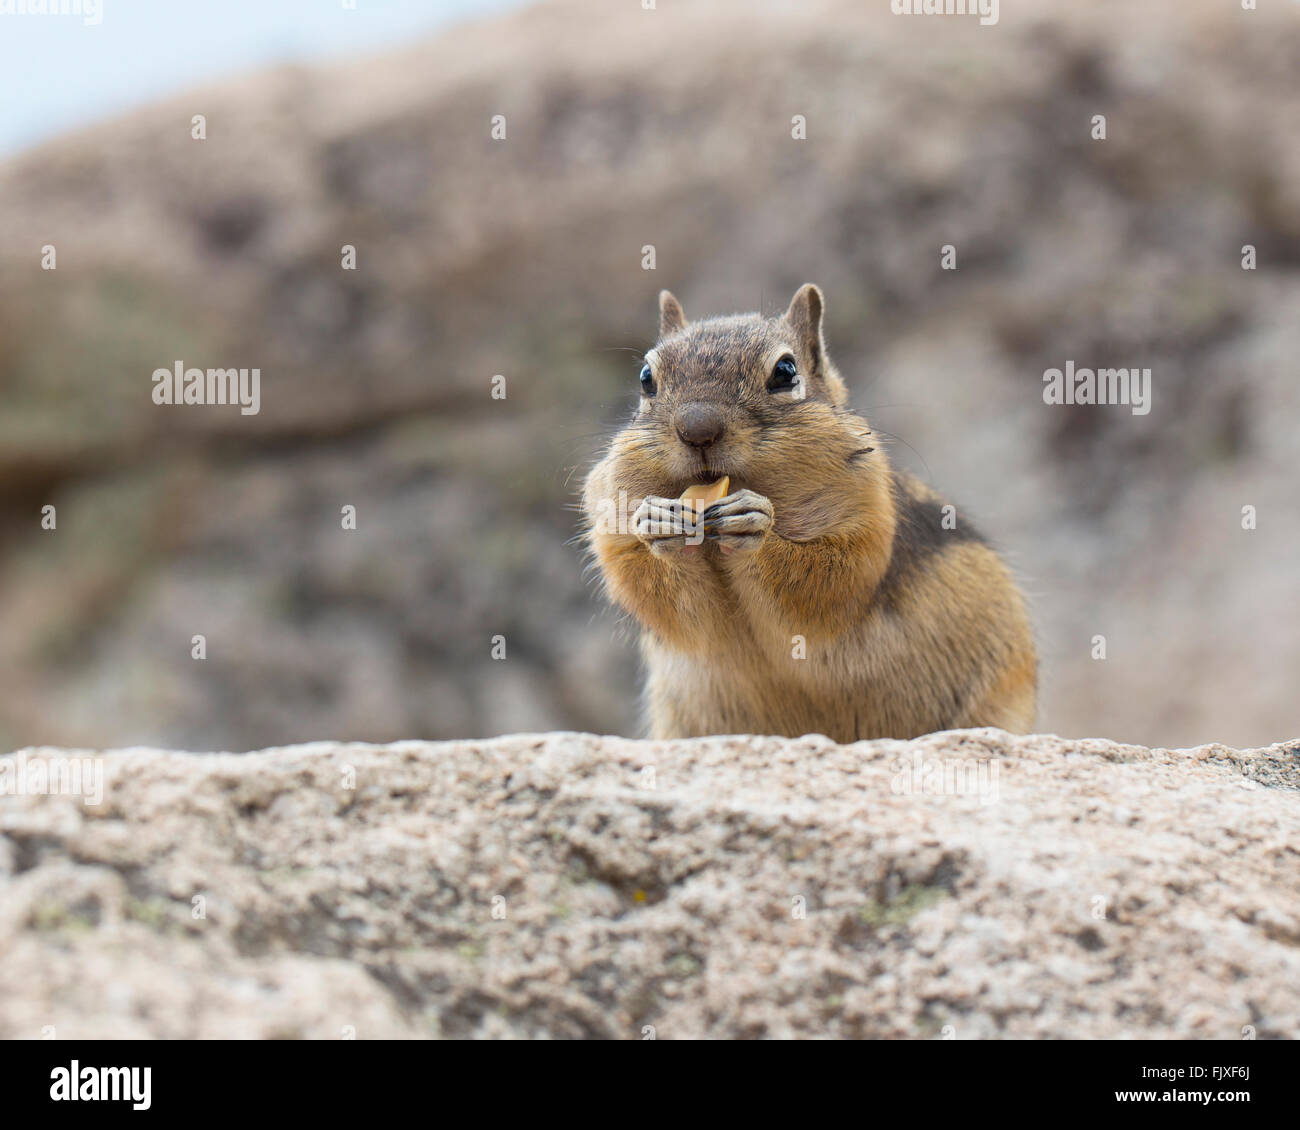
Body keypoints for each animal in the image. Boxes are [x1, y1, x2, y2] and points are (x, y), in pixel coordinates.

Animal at [581, 284, 1037, 742]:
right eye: (646, 378)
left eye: (785, 371)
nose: (697, 429)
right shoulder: (613, 530)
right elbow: (665, 601)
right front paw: (657, 524)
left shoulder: (865, 521)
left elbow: (829, 579)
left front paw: (756, 527)